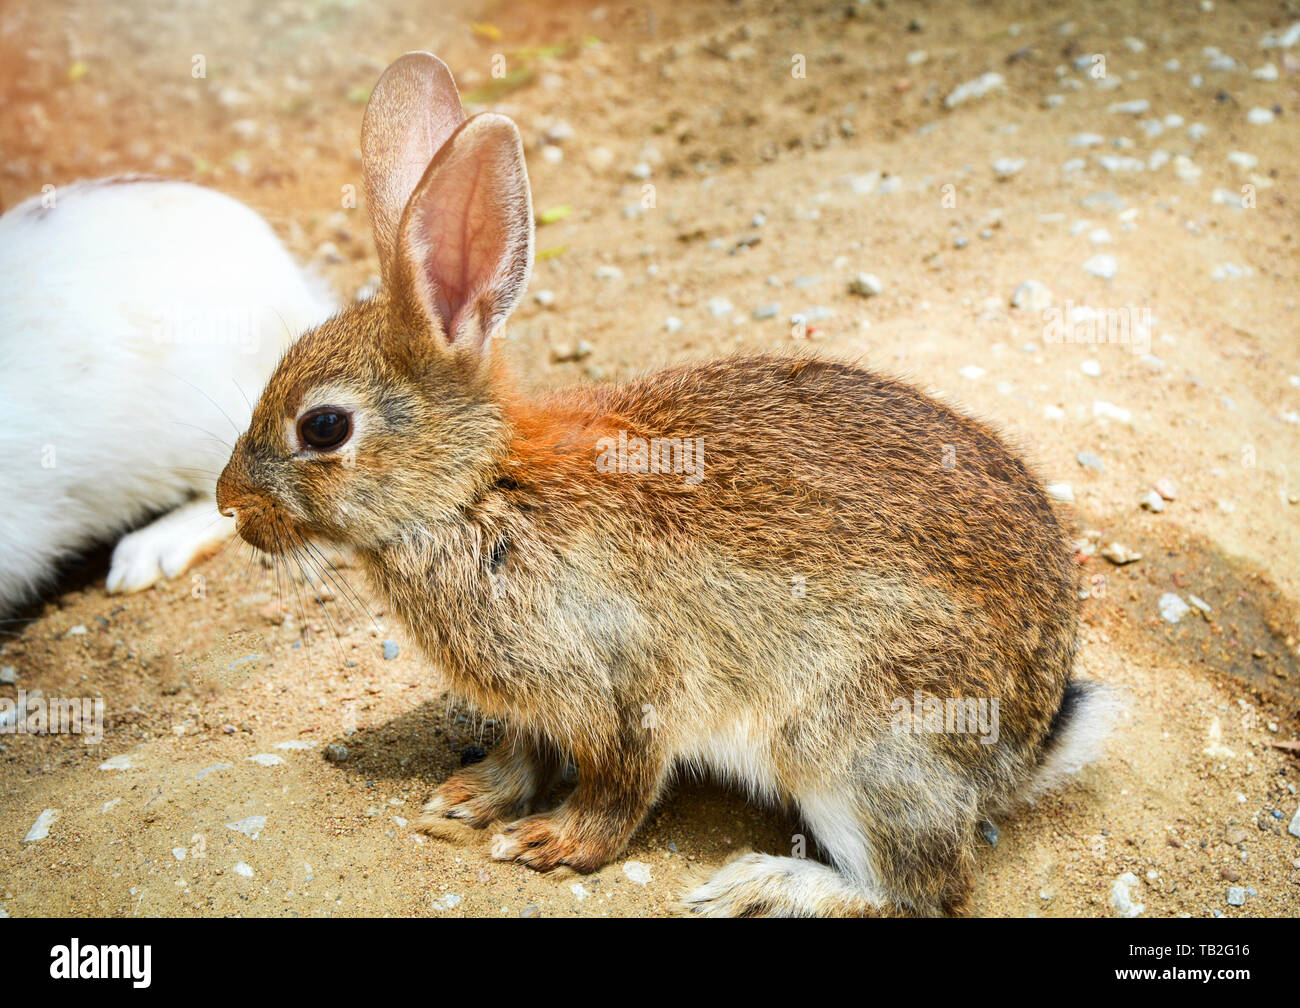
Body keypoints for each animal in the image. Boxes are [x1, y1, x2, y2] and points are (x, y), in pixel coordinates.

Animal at [216, 51, 1117, 917]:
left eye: (323, 428)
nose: (231, 506)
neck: (479, 492)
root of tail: (1024, 747)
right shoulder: (541, 703)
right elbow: (524, 752)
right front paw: (469, 797)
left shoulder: (621, 687)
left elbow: (621, 786)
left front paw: (552, 843)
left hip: (852, 748)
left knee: (920, 886)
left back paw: (757, 884)